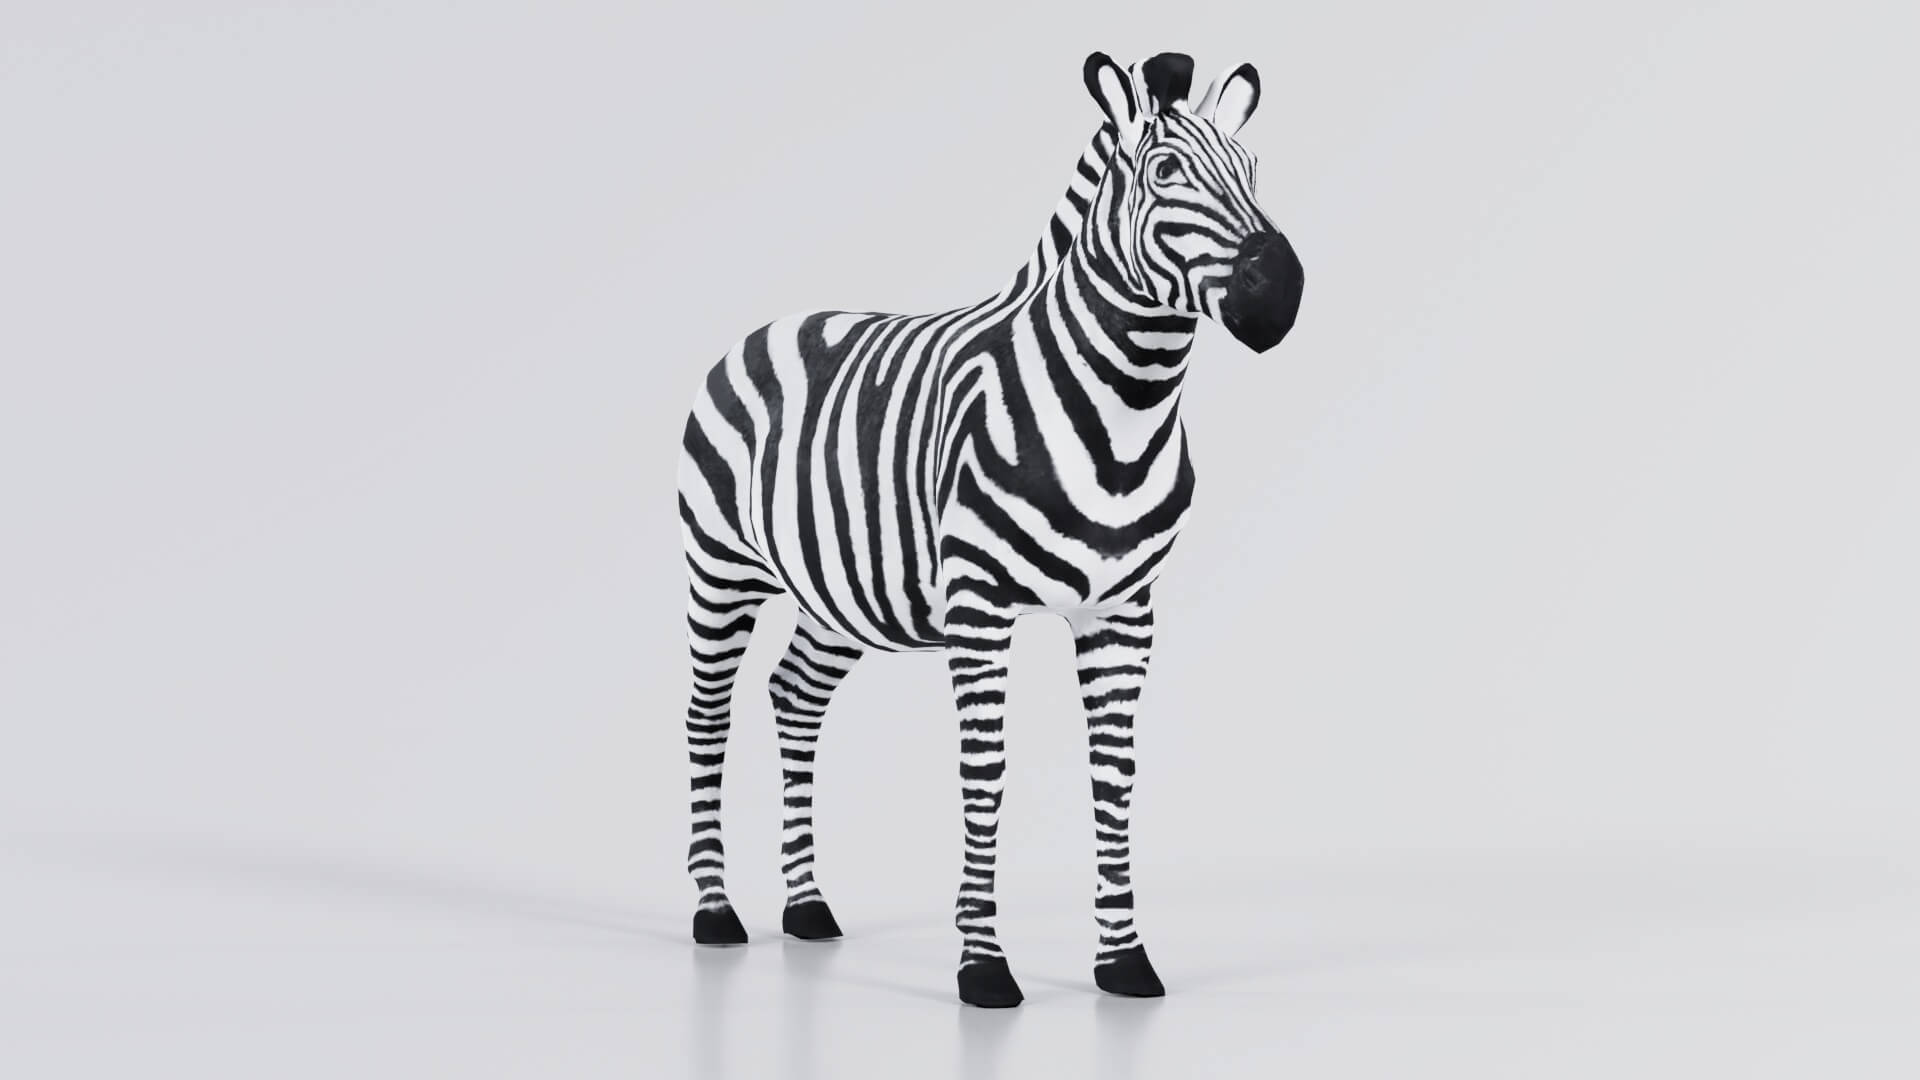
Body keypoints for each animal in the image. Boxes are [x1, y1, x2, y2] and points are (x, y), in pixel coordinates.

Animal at [676, 51, 1304, 1008]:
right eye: (1165, 172)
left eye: (1255, 172)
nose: (1282, 294)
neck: (1125, 410)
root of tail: (769, 325)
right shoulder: (979, 607)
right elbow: (987, 770)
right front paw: (983, 964)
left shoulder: (1125, 612)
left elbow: (1113, 772)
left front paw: (1122, 960)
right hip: (720, 568)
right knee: (707, 715)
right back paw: (715, 913)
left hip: (837, 595)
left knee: (795, 693)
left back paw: (807, 907)